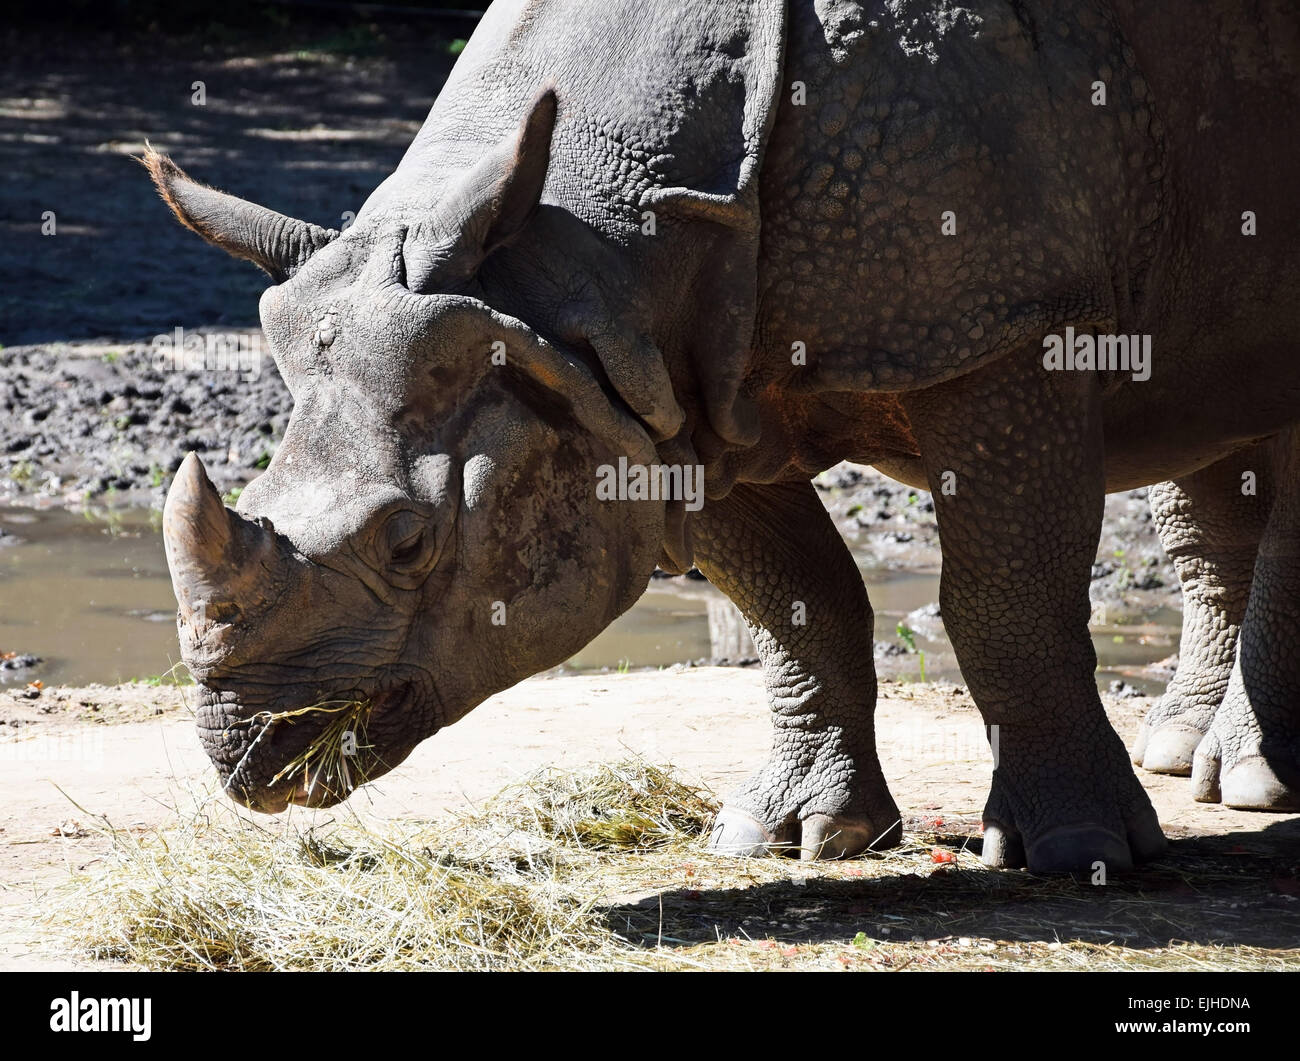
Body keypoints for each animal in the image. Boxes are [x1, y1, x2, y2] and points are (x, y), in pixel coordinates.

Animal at [147, 0, 1300, 873]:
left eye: (407, 542)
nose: (247, 755)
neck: (568, 277)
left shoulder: (1004, 330)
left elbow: (1002, 599)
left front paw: (1076, 852)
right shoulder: (652, 391)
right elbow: (797, 597)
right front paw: (799, 833)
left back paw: (1253, 782)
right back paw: (1187, 758)